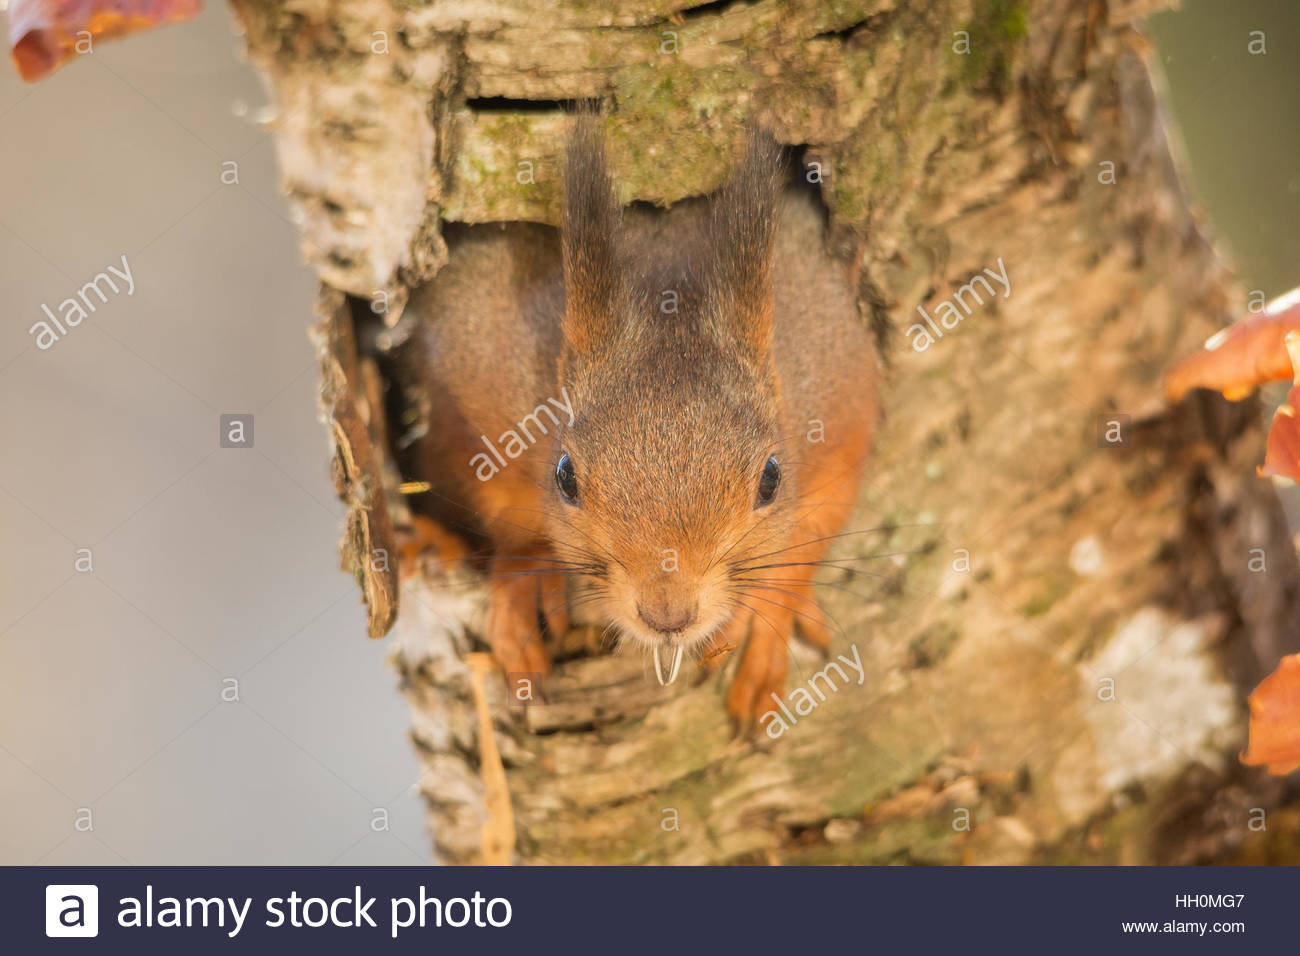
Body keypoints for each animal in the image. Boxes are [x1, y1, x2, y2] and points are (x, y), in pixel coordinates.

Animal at [399, 118, 879, 733]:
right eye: (565, 478)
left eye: (772, 479)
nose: (667, 614)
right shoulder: (472, 385)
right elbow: (504, 512)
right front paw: (525, 577)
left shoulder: (843, 405)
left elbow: (813, 531)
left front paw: (766, 622)